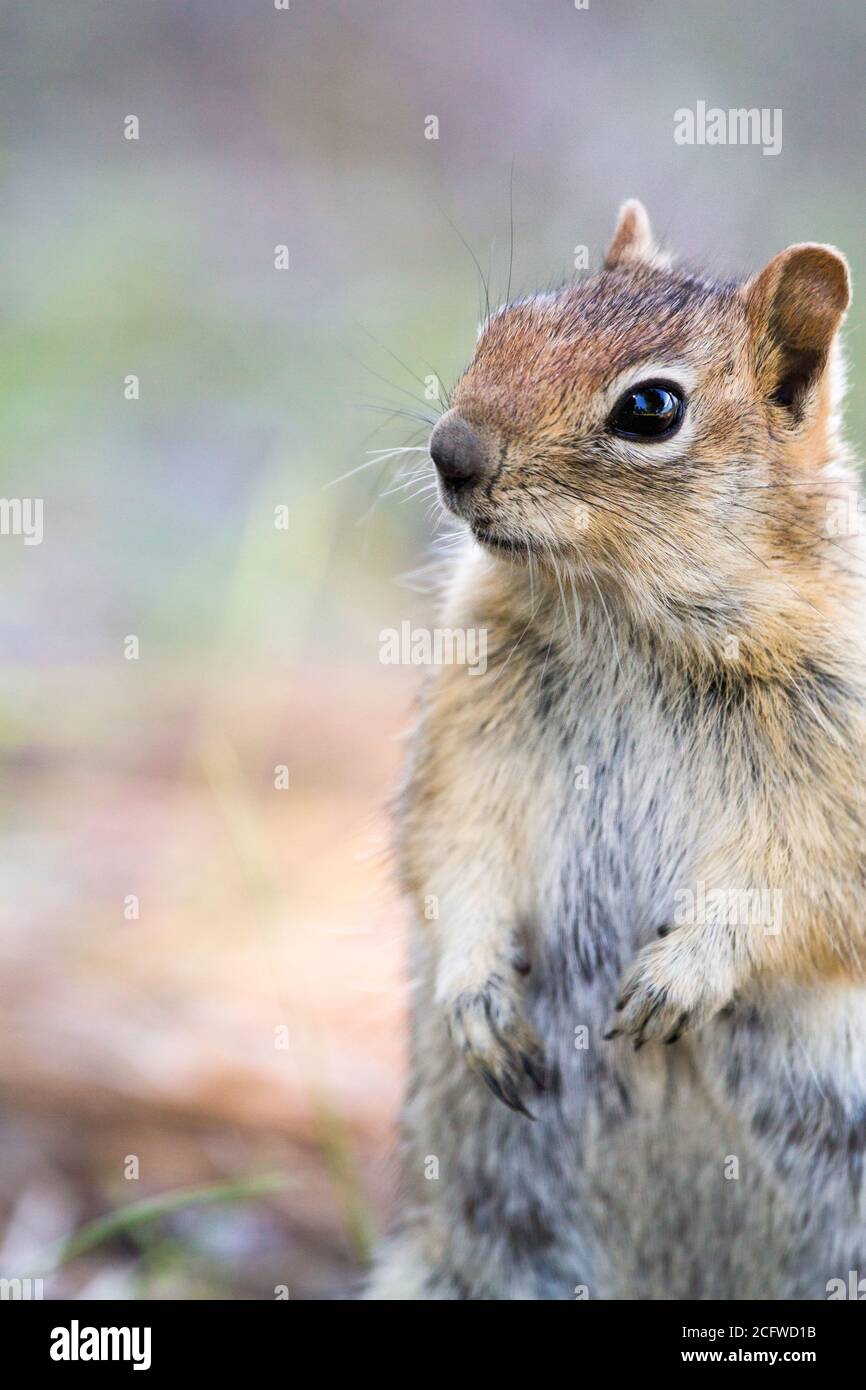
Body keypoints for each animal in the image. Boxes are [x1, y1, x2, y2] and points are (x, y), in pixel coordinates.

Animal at [367, 201, 866, 1300]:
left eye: (650, 409)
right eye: (500, 328)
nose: (451, 450)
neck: (623, 619)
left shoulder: (840, 767)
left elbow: (810, 881)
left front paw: (681, 976)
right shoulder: (471, 730)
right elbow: (453, 846)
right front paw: (474, 992)